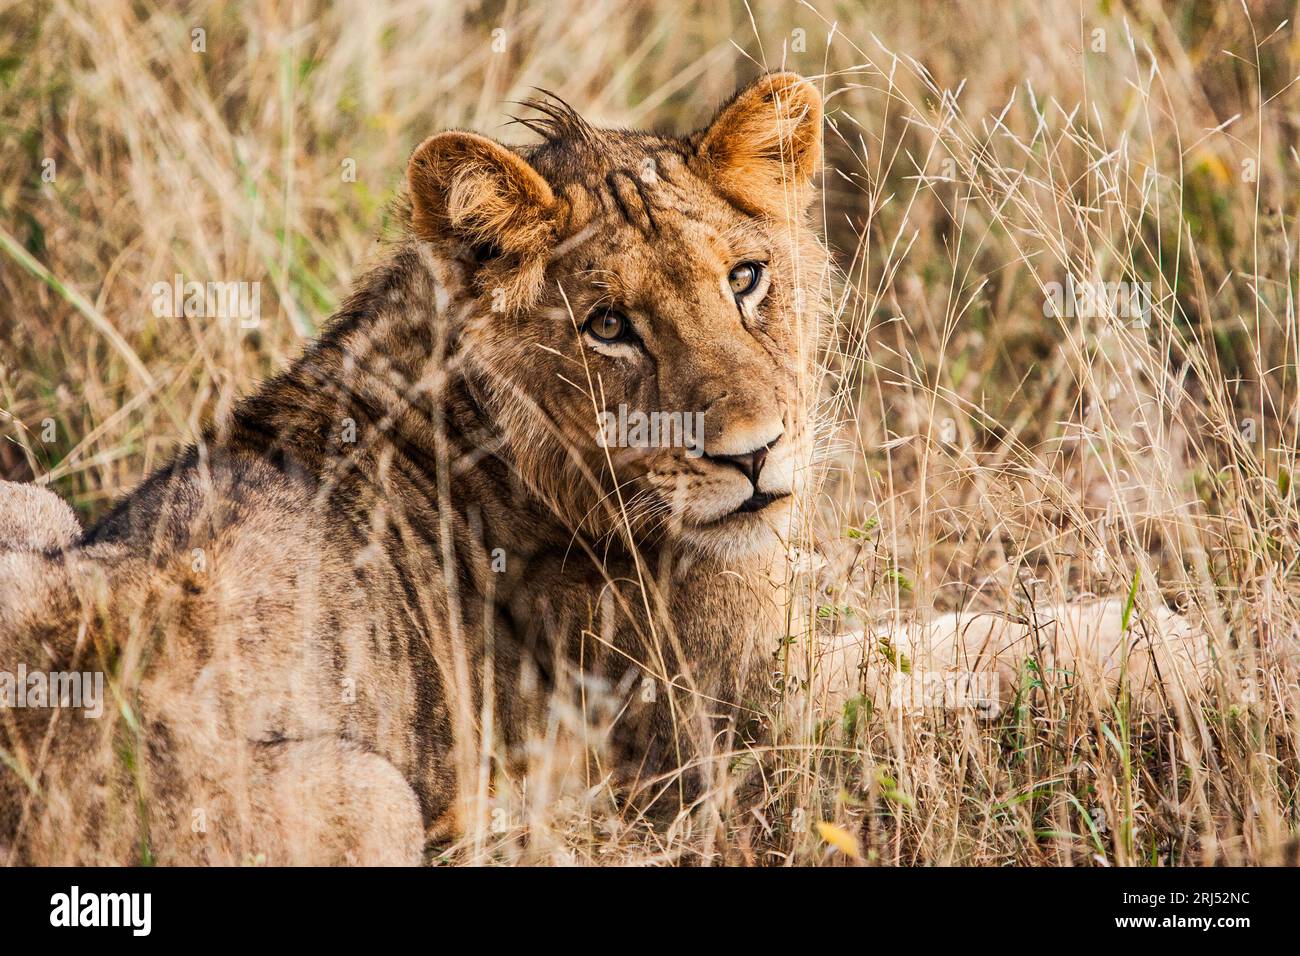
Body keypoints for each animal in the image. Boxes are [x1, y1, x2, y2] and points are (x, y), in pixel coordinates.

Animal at [0, 72, 829, 865]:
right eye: (609, 325)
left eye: (746, 278)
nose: (752, 454)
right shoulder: (707, 747)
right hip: (374, 798)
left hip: (34, 508)